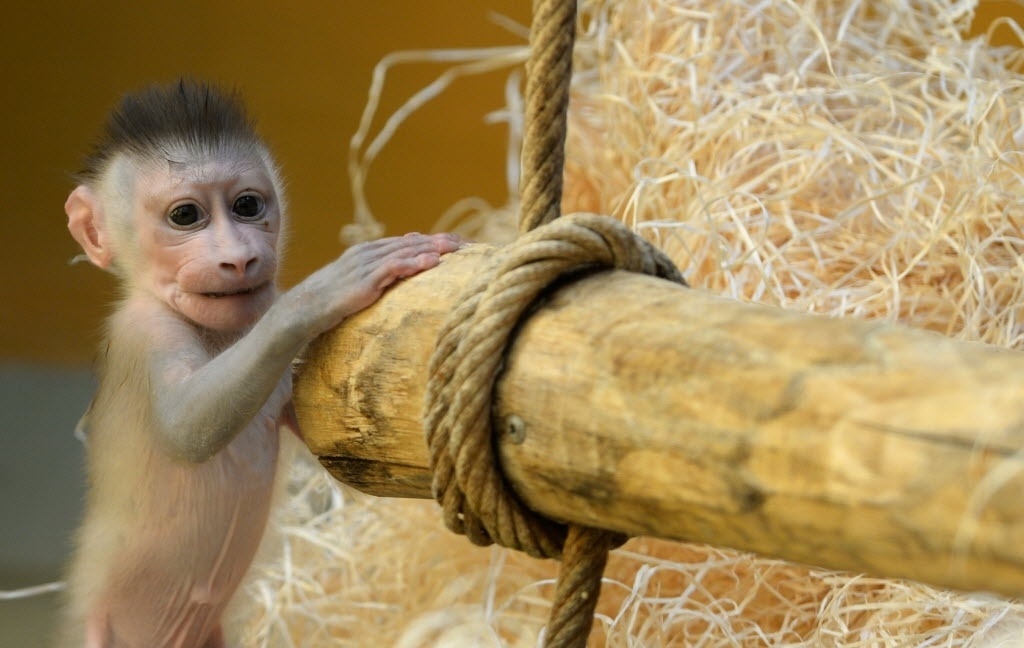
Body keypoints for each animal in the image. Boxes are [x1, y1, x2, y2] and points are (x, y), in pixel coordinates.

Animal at [57, 78, 462, 647]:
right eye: (186, 216)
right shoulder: (145, 332)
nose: (239, 258)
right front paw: (316, 296)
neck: (221, 334)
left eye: (247, 205)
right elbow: (186, 426)